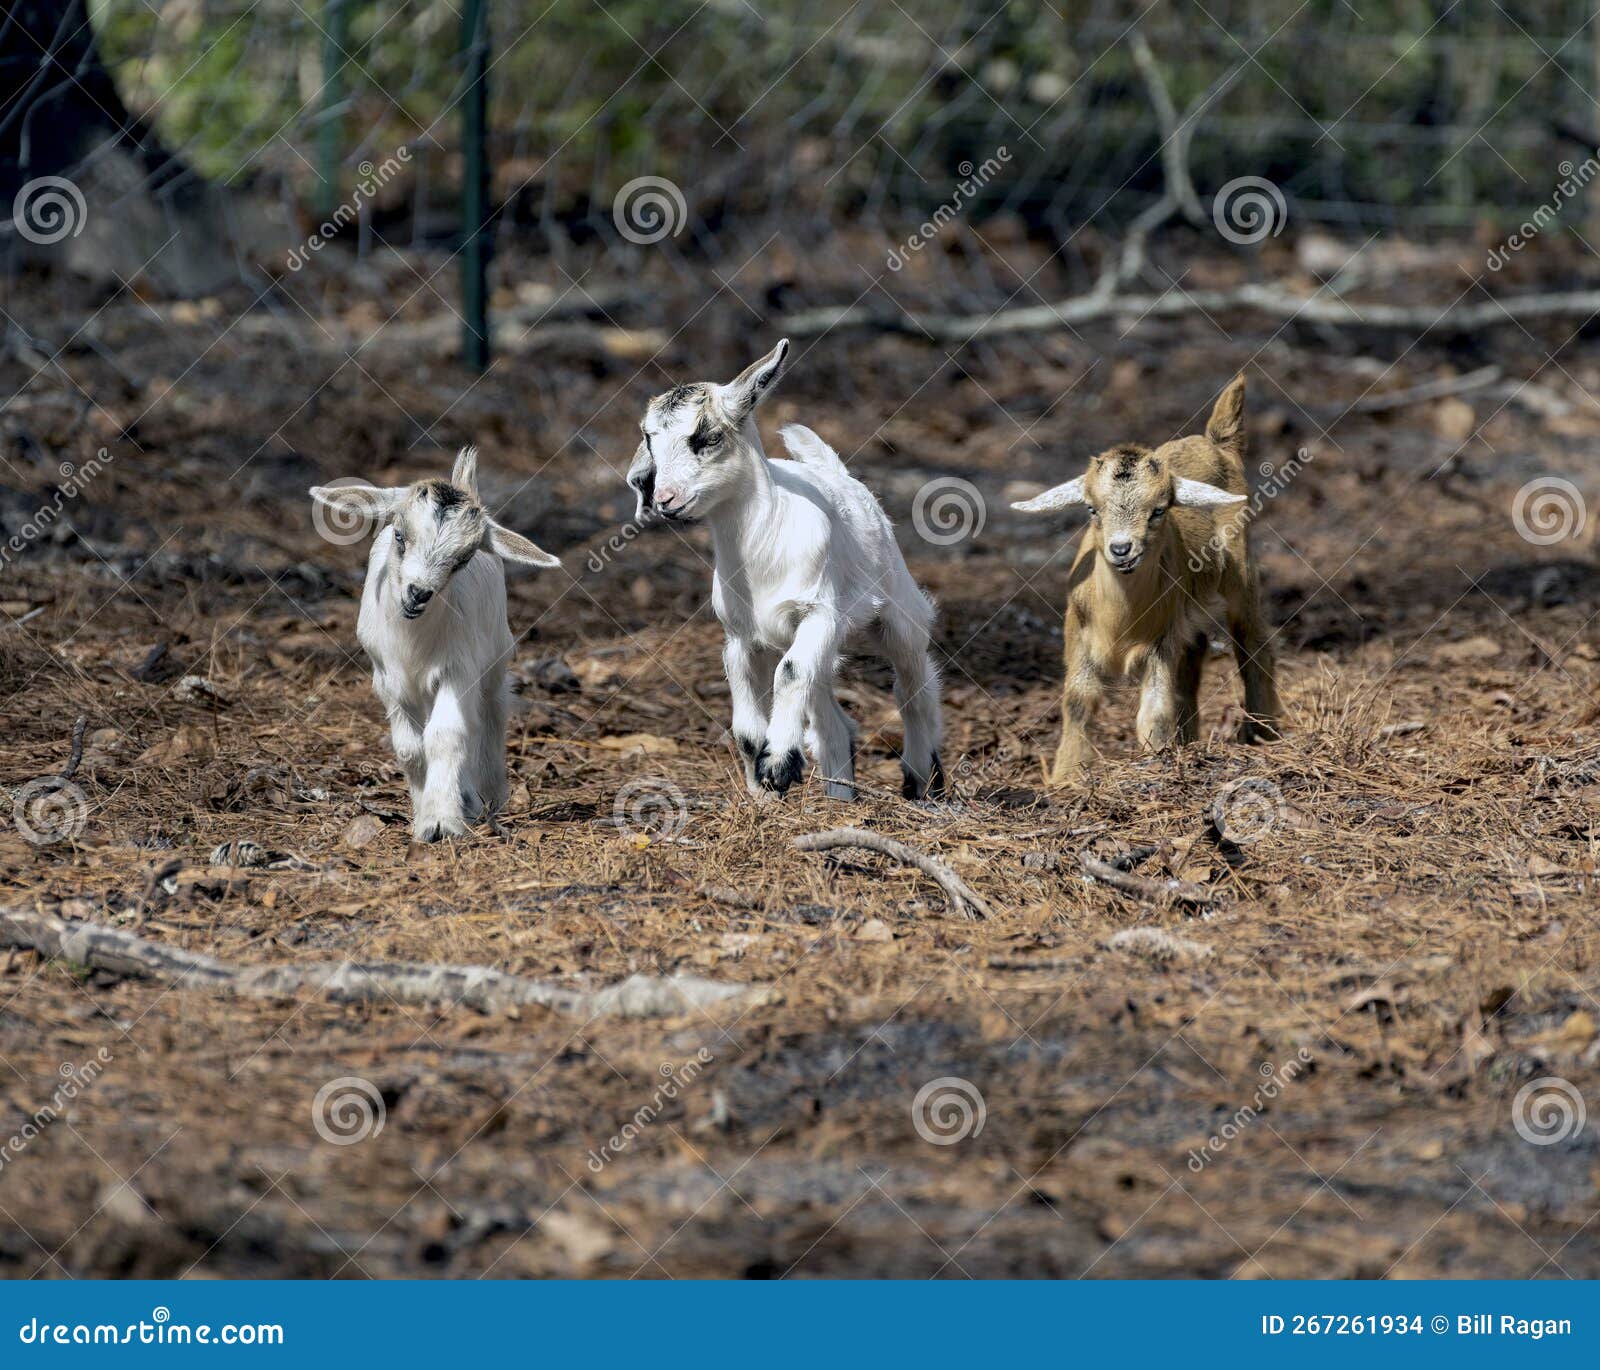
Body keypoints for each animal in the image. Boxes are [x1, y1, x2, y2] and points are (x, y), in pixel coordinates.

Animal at [309, 448, 560, 841]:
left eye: (463, 559)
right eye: (399, 535)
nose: (418, 594)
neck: (413, 639)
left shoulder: (459, 669)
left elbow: (446, 735)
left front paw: (441, 820)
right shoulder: (387, 677)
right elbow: (410, 749)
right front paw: (423, 809)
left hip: (494, 660)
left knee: (488, 717)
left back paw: (485, 798)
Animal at [625, 339, 945, 801]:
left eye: (708, 437)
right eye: (650, 439)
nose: (665, 500)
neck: (760, 550)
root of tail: (836, 472)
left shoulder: (819, 612)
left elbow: (789, 673)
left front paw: (777, 764)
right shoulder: (741, 639)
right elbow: (747, 728)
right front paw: (762, 793)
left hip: (898, 616)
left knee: (912, 689)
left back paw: (921, 781)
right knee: (833, 723)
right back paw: (840, 798)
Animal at [1012, 375, 1280, 785]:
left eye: (1158, 510)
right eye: (1091, 509)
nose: (1122, 549)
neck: (1119, 621)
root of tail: (1216, 442)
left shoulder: (1160, 642)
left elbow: (1154, 711)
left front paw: (1154, 762)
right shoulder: (1078, 634)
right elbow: (1078, 701)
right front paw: (1066, 775)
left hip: (1241, 575)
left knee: (1253, 642)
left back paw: (1262, 733)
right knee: (1195, 657)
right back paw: (1191, 740)